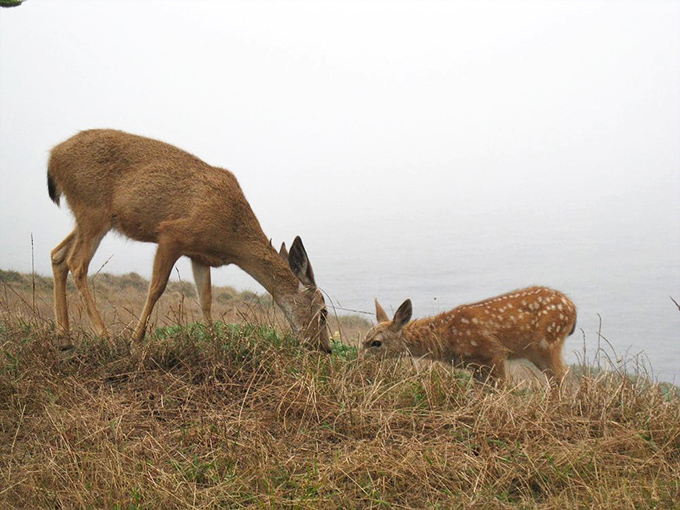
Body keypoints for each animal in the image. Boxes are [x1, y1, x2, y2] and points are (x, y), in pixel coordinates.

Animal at [47, 129, 331, 351]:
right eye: (324, 313)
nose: (325, 348)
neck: (232, 237)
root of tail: (53, 157)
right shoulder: (172, 234)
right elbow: (157, 287)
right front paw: (136, 340)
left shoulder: (199, 255)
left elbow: (205, 299)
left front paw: (214, 342)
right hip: (93, 210)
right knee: (77, 263)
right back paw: (104, 335)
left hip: (87, 218)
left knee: (58, 255)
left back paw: (65, 337)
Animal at [362, 286, 576, 386]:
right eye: (364, 339)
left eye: (376, 343)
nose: (359, 361)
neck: (448, 336)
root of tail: (572, 308)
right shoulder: (475, 367)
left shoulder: (494, 352)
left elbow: (502, 387)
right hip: (536, 351)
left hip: (548, 342)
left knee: (561, 374)